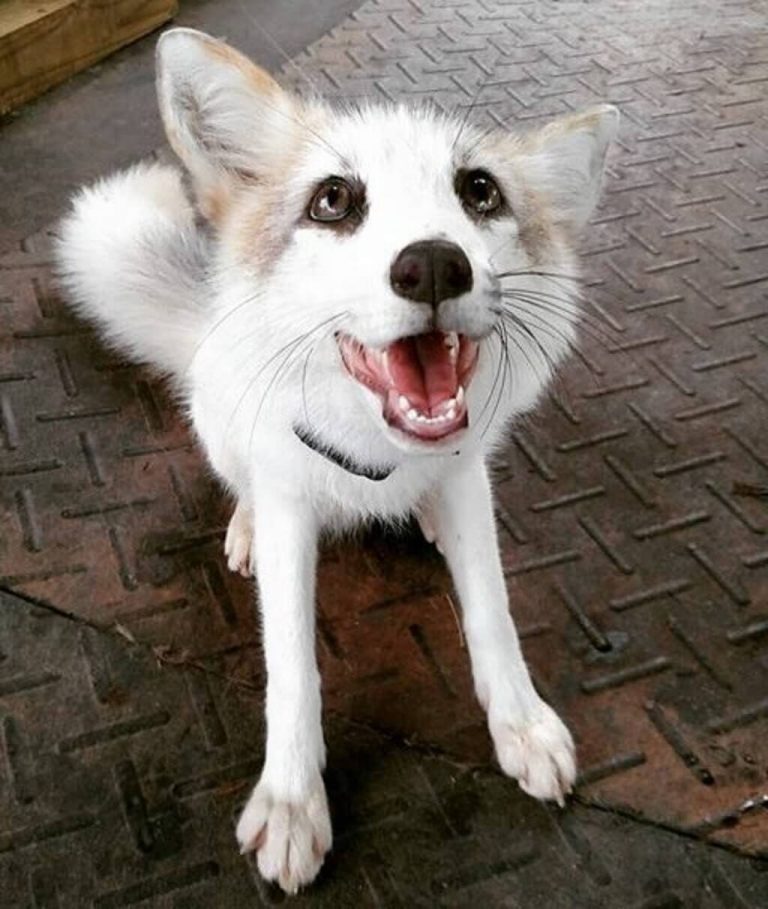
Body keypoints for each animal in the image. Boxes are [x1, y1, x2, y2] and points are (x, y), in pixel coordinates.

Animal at [56, 27, 618, 894]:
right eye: (333, 201)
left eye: (480, 191)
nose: (433, 264)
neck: (379, 458)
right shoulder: (293, 503)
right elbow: (292, 668)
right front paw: (293, 801)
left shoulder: (466, 477)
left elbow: (493, 615)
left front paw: (520, 723)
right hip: (221, 422)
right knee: (240, 483)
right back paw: (244, 525)